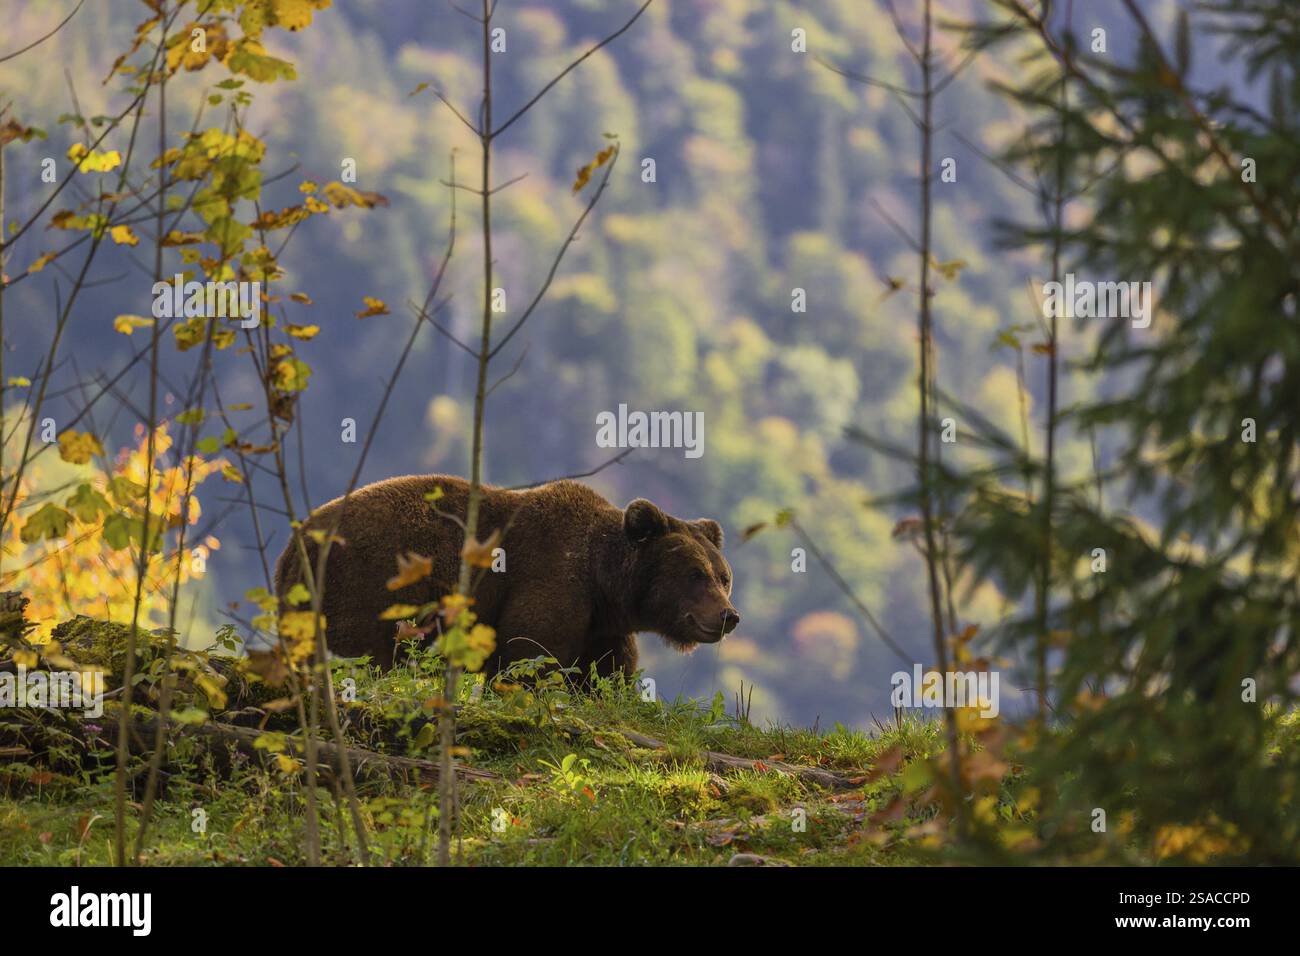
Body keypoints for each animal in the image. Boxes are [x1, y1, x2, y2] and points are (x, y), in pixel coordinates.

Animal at [272, 475, 739, 676]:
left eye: (723, 576)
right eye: (695, 574)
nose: (728, 616)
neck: (605, 583)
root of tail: (291, 548)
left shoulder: (600, 627)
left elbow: (607, 675)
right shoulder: (551, 580)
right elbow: (530, 654)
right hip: (369, 584)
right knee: (376, 649)